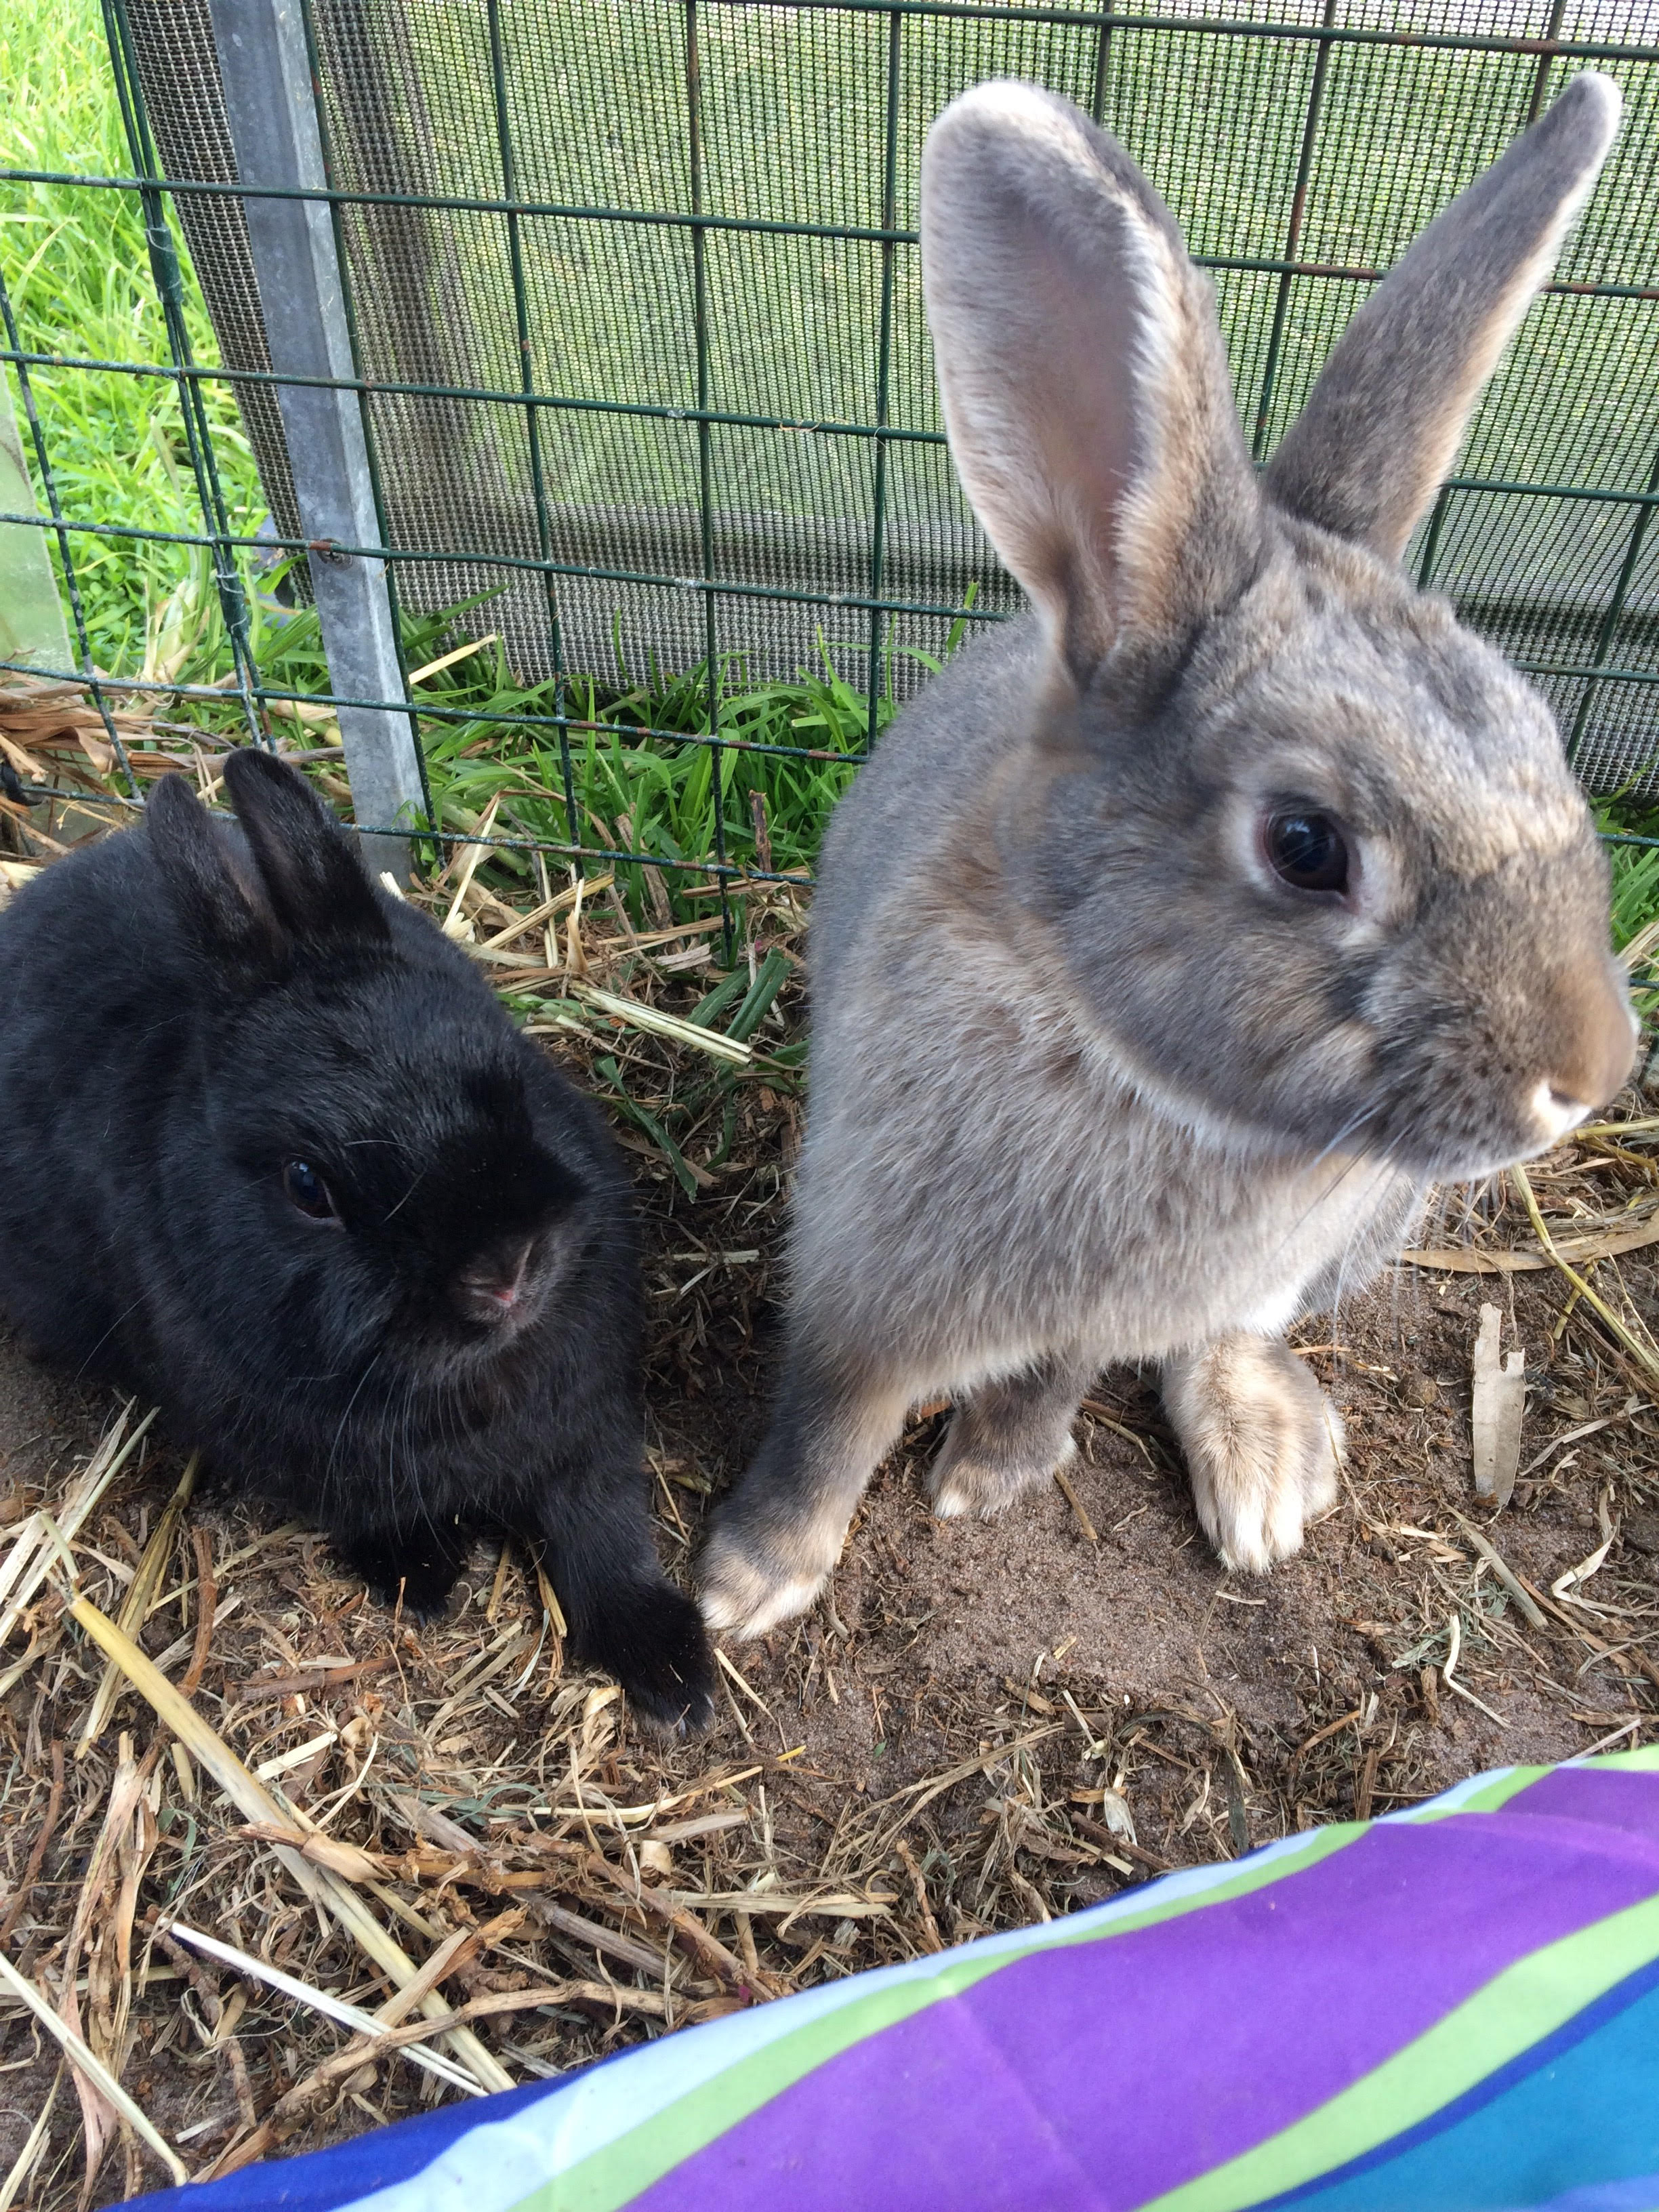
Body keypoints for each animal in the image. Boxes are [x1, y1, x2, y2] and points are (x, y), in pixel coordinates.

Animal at [0, 748, 714, 1733]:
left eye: (509, 1082)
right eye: (308, 1187)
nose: (506, 1271)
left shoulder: (586, 1431)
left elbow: (602, 1536)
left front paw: (675, 1675)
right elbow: (383, 1519)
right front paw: (424, 1577)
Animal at [700, 73, 1637, 1638]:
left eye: (1542, 736)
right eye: (1307, 845)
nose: (1589, 1075)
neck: (1140, 1076)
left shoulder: (1107, 1312)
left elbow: (1065, 1376)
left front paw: (992, 1476)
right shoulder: (859, 1273)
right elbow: (830, 1421)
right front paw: (742, 1583)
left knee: (1232, 1339)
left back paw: (1264, 1479)